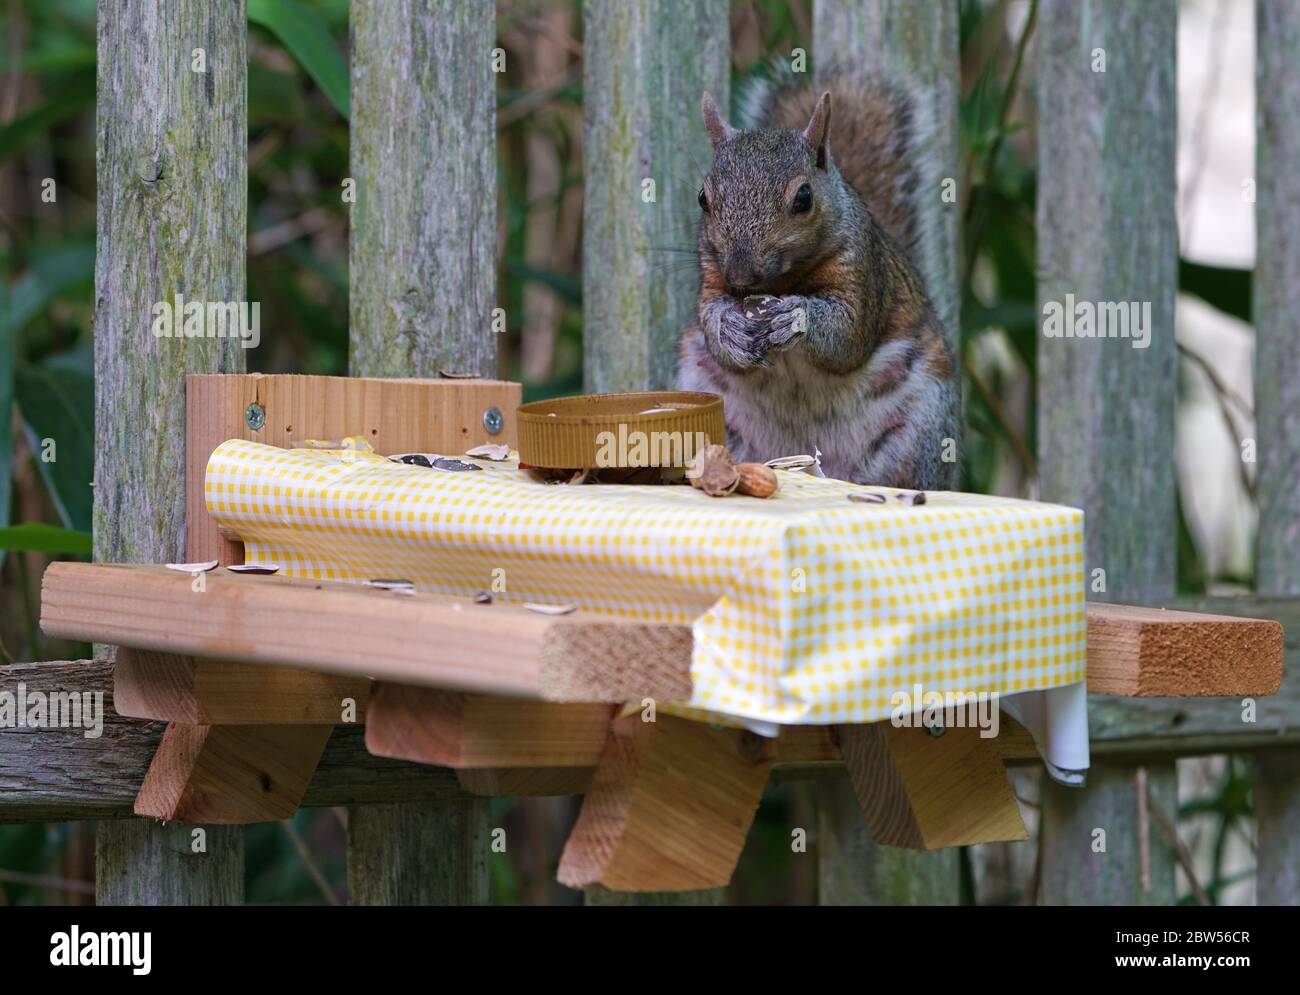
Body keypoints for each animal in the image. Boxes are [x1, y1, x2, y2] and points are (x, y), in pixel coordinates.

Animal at [676, 71, 958, 490]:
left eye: (803, 198)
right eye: (702, 198)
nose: (740, 274)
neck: (780, 282)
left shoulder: (862, 274)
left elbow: (846, 338)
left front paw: (795, 317)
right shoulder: (712, 276)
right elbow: (713, 325)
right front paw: (730, 330)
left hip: (919, 434)